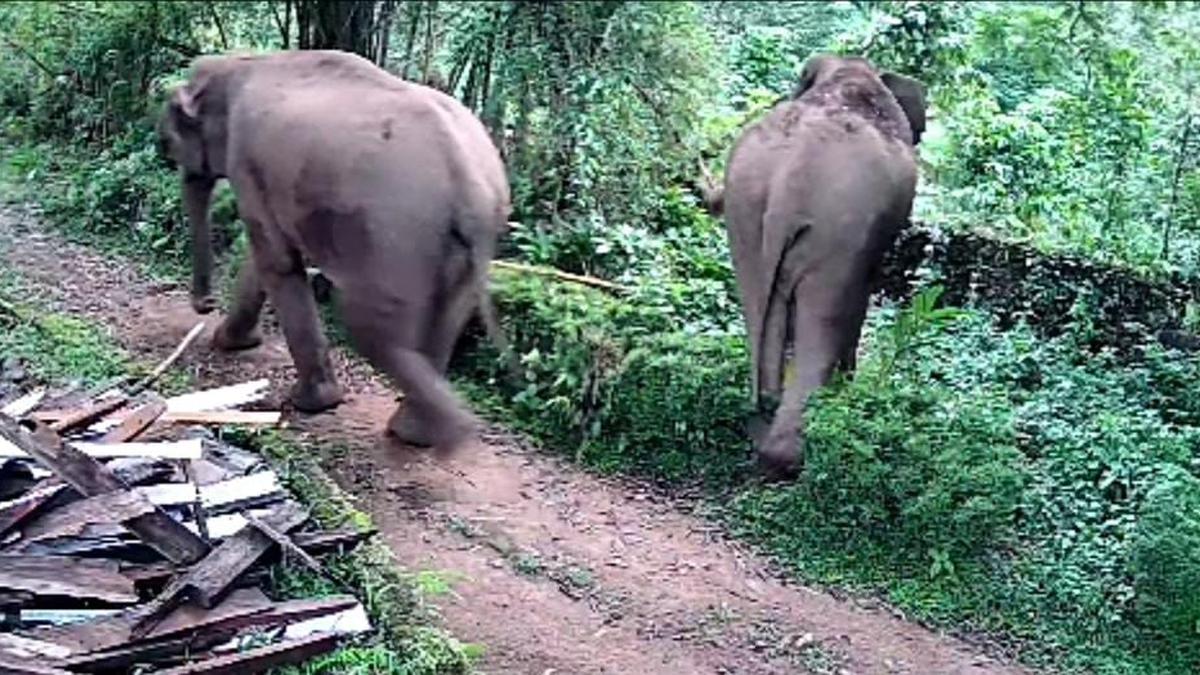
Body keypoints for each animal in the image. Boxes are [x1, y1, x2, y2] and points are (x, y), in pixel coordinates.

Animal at [157, 49, 512, 452]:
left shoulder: (245, 158)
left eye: (167, 143)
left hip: (397, 236)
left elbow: (275, 259)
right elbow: (268, 255)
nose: (204, 305)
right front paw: (233, 343)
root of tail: (468, 180)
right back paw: (421, 432)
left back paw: (449, 429)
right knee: (444, 317)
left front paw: (309, 402)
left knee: (364, 323)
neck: (238, 63)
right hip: (464, 245)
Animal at [715, 54, 927, 480]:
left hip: (744, 205)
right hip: (840, 226)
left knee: (759, 304)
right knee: (830, 308)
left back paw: (762, 428)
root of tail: (788, 179)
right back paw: (794, 453)